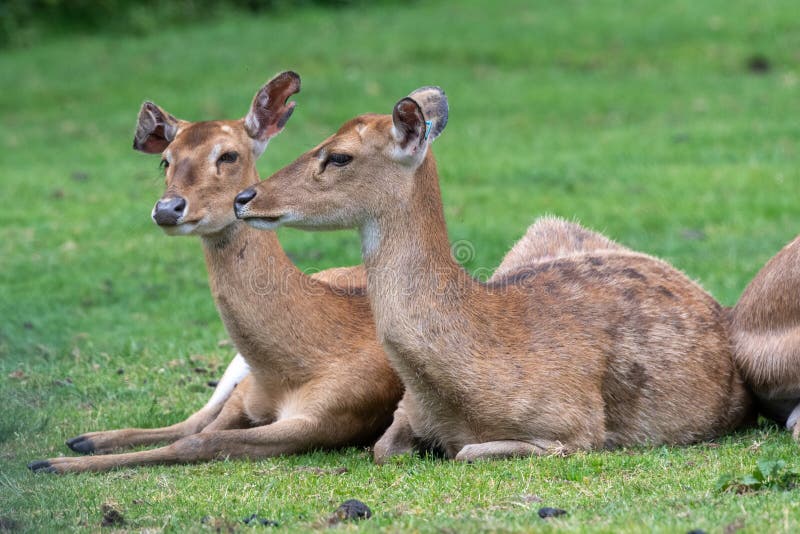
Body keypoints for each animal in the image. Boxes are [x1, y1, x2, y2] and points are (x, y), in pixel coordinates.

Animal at [28, 72, 408, 474]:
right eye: (165, 160)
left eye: (228, 154)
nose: (168, 208)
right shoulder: (245, 395)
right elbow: (198, 430)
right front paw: (59, 458)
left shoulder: (331, 417)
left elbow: (200, 442)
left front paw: (50, 464)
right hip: (235, 367)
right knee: (193, 417)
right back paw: (86, 438)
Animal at [233, 86, 754, 462]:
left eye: (339, 155)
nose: (245, 198)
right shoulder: (405, 409)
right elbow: (383, 449)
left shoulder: (576, 426)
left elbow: (467, 452)